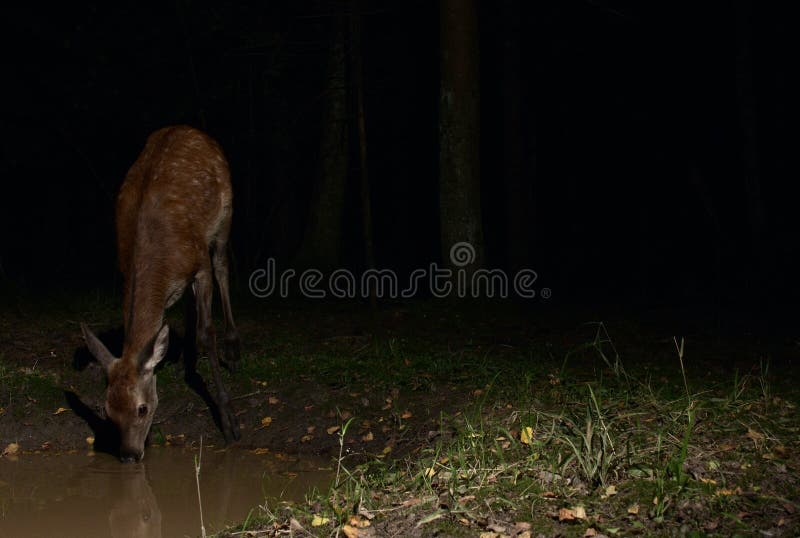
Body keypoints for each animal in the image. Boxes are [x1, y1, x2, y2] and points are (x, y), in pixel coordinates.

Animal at [81, 125, 240, 462]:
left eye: (142, 409)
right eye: (107, 410)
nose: (129, 455)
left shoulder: (199, 262)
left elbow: (208, 331)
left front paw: (229, 422)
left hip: (226, 213)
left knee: (223, 266)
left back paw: (233, 348)